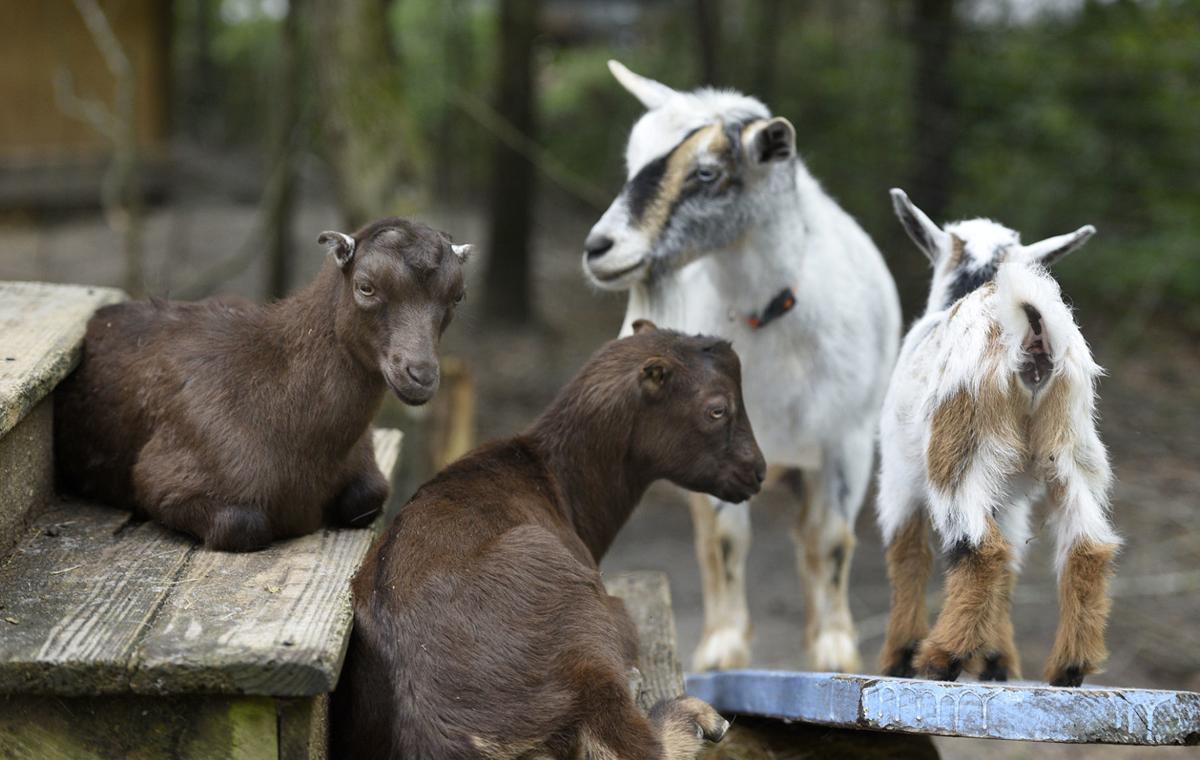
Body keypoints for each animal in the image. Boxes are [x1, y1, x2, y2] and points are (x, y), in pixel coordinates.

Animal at [54, 218, 470, 551]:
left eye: (458, 296)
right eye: (366, 286)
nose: (420, 375)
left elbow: (369, 496)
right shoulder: (163, 476)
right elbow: (243, 524)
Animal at [331, 321, 766, 760]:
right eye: (717, 409)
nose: (757, 472)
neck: (554, 478)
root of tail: (433, 733)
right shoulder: (611, 609)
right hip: (566, 601)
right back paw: (696, 717)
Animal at [582, 61, 901, 672]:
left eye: (706, 173)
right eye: (632, 159)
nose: (599, 247)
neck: (768, 319)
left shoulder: (848, 440)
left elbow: (831, 542)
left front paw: (834, 649)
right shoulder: (709, 444)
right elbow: (726, 541)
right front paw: (724, 650)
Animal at [876, 189, 1118, 686]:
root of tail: (1033, 336)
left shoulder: (899, 476)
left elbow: (907, 553)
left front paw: (900, 657)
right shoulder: (1010, 500)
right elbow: (1010, 567)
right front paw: (997, 661)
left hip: (957, 453)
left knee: (978, 548)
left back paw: (939, 658)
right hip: (1073, 450)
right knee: (1085, 548)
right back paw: (1069, 666)